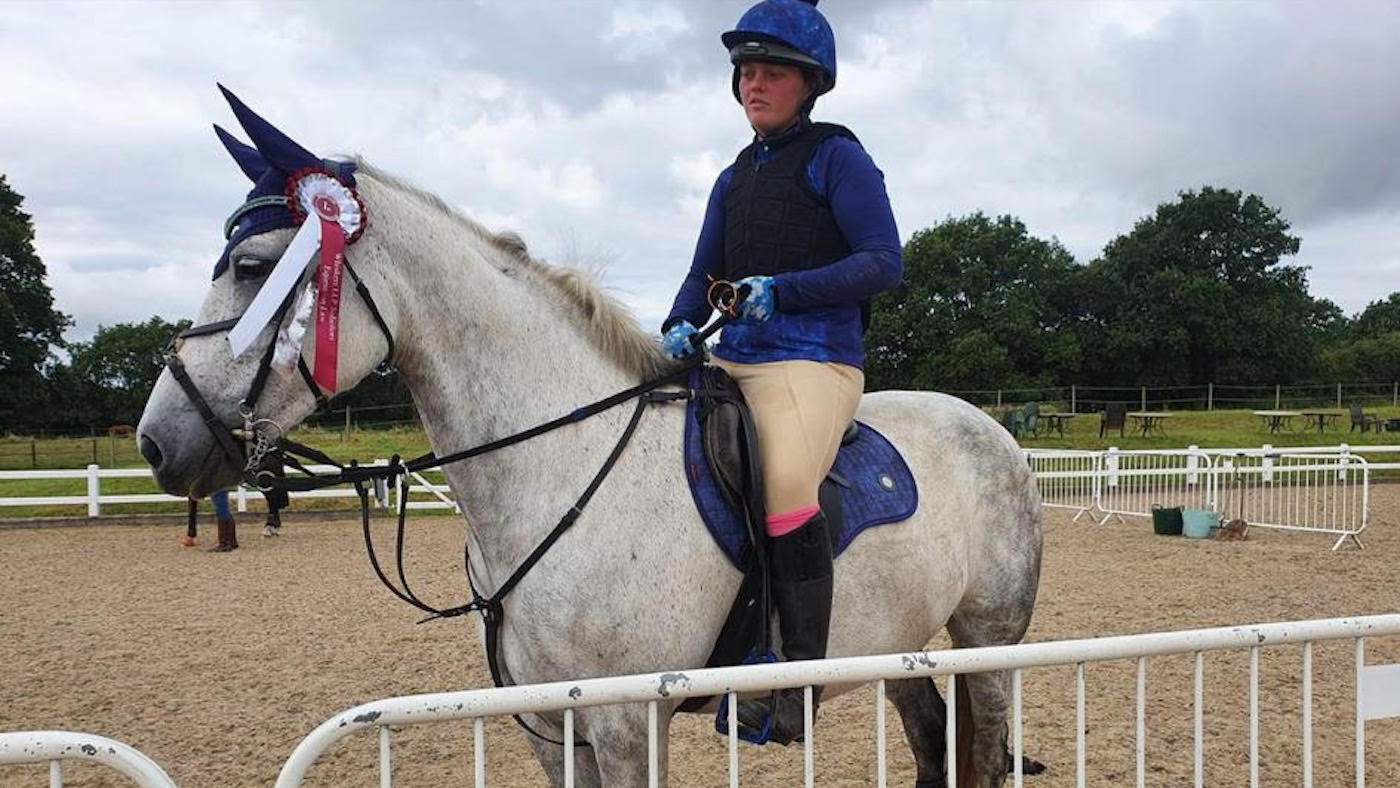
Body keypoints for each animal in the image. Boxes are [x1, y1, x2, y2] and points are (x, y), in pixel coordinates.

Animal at [136, 90, 1043, 787]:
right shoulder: (547, 724)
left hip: (987, 643)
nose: (155, 443)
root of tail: (986, 427)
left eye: (253, 266)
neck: (557, 470)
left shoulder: (626, 721)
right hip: (902, 648)